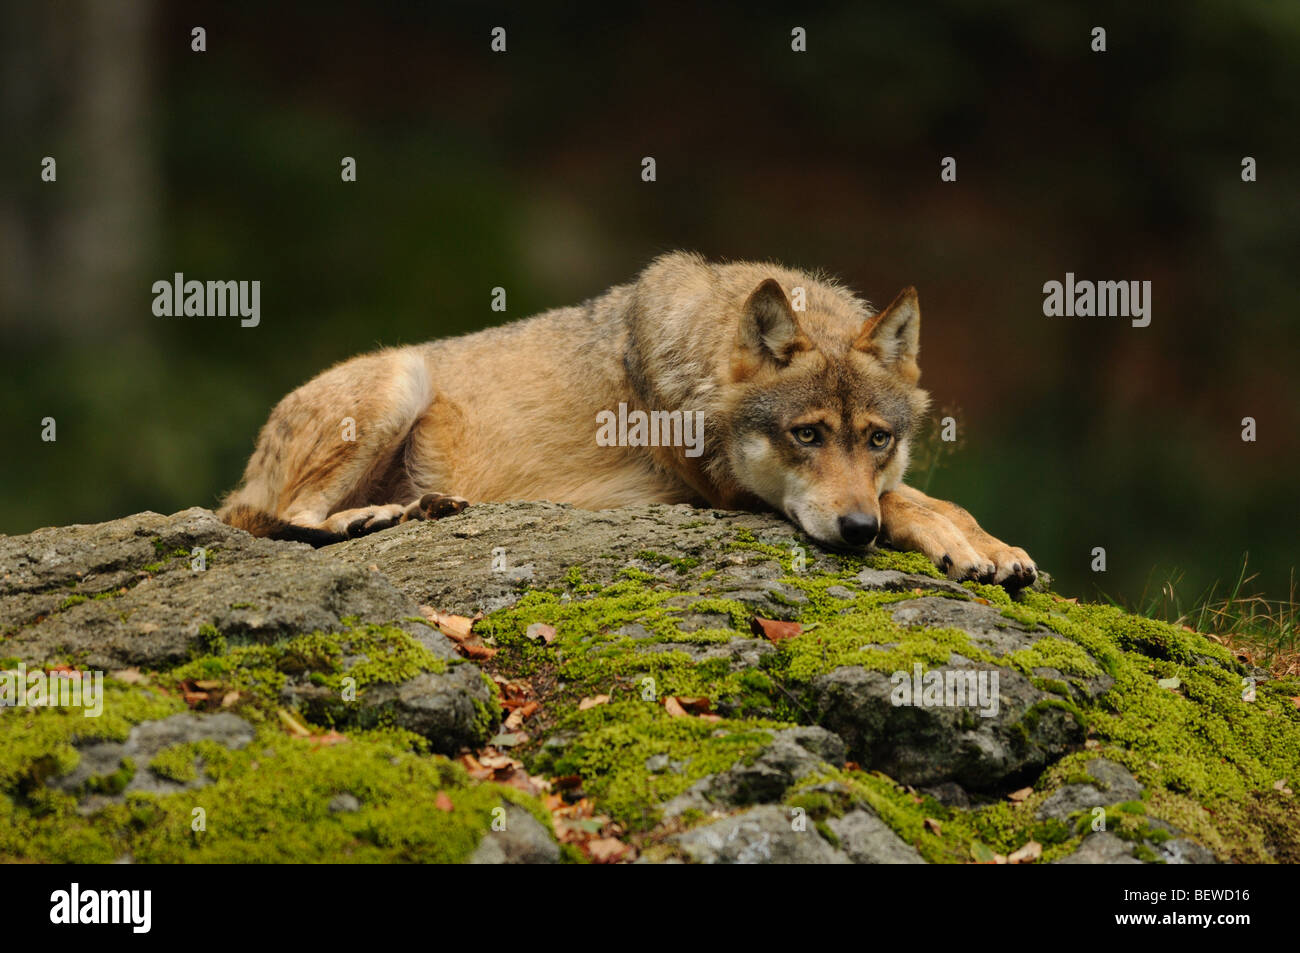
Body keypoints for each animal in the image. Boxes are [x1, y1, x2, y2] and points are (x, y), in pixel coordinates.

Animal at [219, 253, 1037, 587]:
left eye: (877, 438)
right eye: (806, 435)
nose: (857, 532)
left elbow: (922, 495)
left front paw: (993, 546)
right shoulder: (731, 498)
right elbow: (908, 501)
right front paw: (961, 545)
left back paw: (428, 506)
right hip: (401, 378)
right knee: (290, 519)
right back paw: (371, 518)